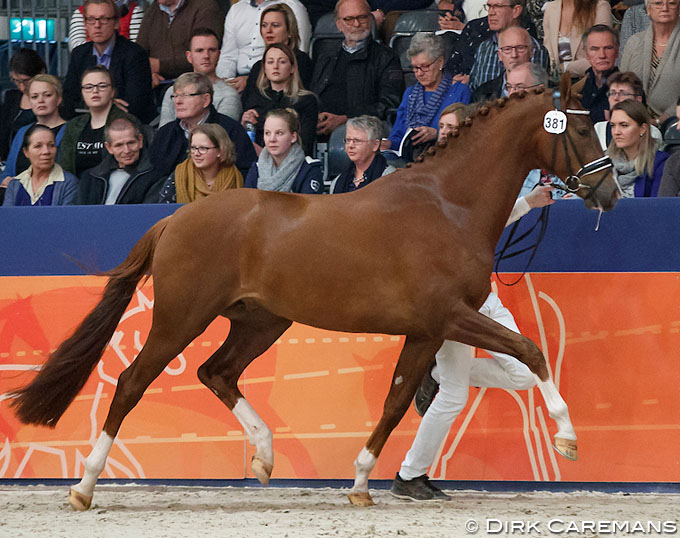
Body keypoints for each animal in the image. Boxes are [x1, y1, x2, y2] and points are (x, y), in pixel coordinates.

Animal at [9, 76, 619, 510]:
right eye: (580, 131)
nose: (610, 192)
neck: (448, 205)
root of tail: (175, 219)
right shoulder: (449, 316)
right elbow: (530, 352)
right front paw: (568, 439)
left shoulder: (427, 331)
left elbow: (399, 400)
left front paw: (361, 484)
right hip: (181, 318)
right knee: (134, 383)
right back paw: (84, 488)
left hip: (260, 320)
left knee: (217, 372)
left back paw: (264, 458)